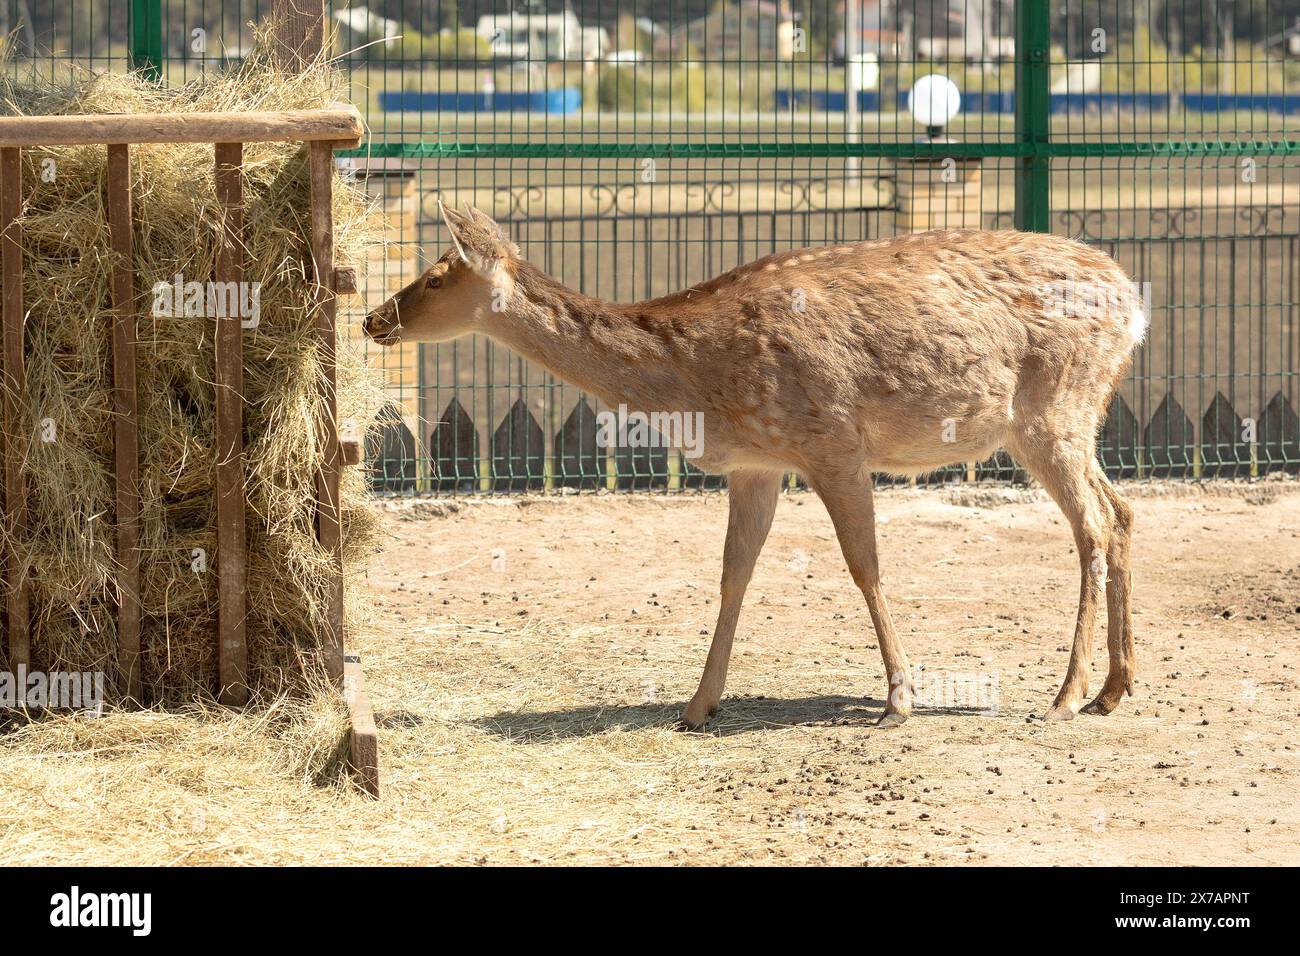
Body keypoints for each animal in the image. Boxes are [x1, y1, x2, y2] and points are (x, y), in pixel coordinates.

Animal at [365, 202, 1144, 730]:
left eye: (434, 276)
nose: (373, 319)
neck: (697, 381)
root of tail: (1135, 303)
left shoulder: (832, 439)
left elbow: (864, 565)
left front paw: (898, 701)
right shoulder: (755, 463)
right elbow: (733, 572)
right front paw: (696, 705)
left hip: (1054, 408)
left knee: (1092, 526)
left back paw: (1066, 695)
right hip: (1078, 416)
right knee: (1124, 511)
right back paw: (1114, 688)